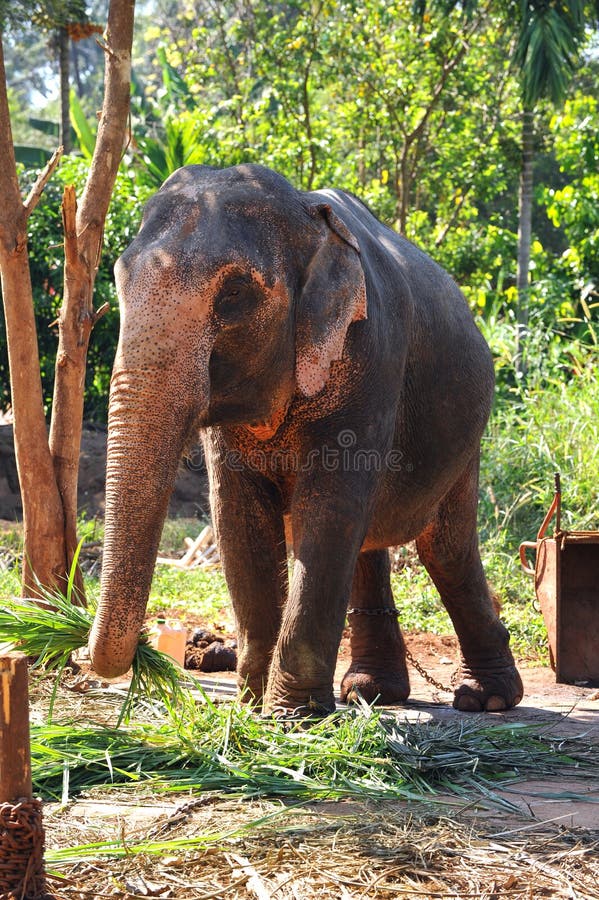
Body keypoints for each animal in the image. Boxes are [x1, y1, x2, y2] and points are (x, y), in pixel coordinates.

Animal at [89, 163, 523, 715]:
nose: (147, 647)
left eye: (234, 293)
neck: (307, 217)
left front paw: (292, 716)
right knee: (372, 543)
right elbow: (238, 519)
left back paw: (486, 698)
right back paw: (371, 692)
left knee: (445, 548)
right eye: (119, 277)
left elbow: (328, 509)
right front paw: (252, 704)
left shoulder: (372, 355)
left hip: (467, 438)